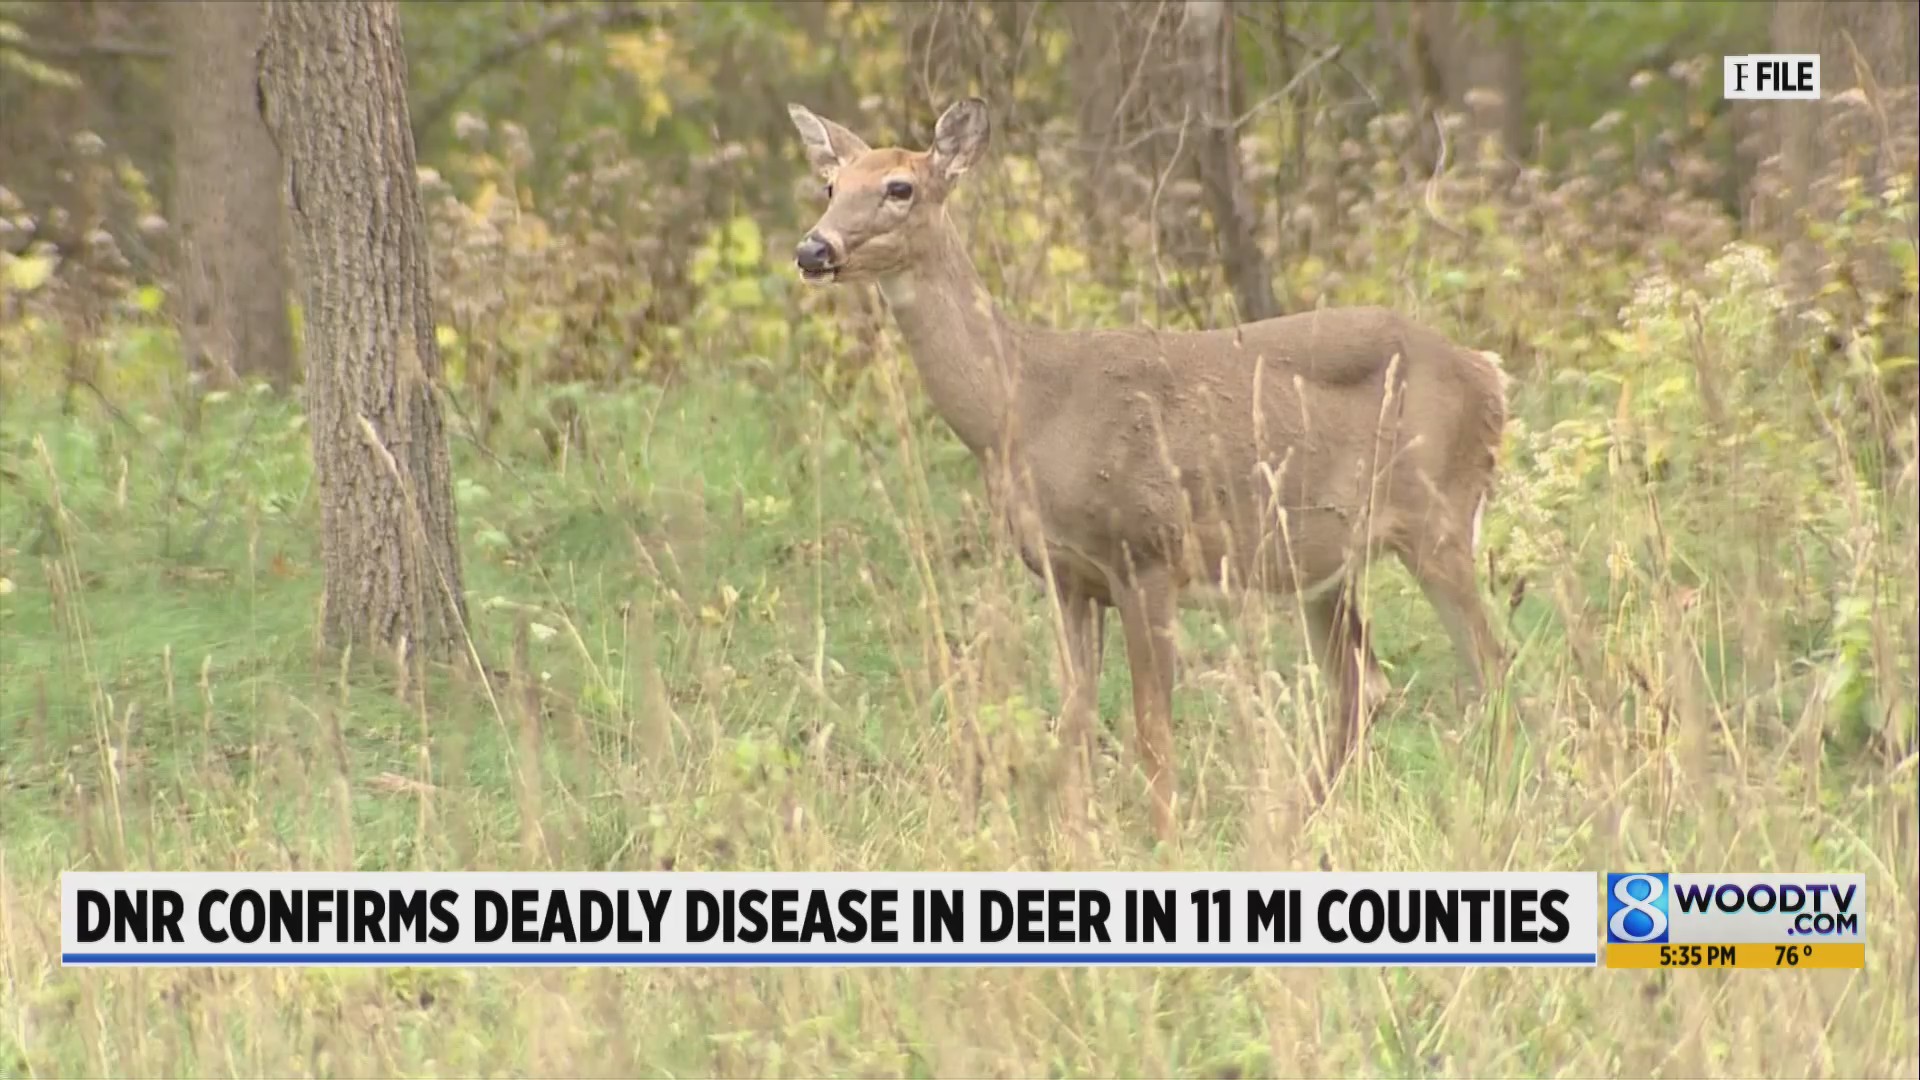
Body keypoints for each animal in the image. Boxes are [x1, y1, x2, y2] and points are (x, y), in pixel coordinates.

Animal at [786, 98, 1509, 847]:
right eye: (831, 186)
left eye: (900, 187)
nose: (814, 250)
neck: (1024, 407)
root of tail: (1489, 373)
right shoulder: (1067, 576)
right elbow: (1074, 721)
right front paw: (1075, 840)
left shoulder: (1148, 551)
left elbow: (1151, 726)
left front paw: (1164, 841)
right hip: (1321, 560)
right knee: (1366, 686)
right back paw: (1285, 826)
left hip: (1437, 518)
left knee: (1492, 662)